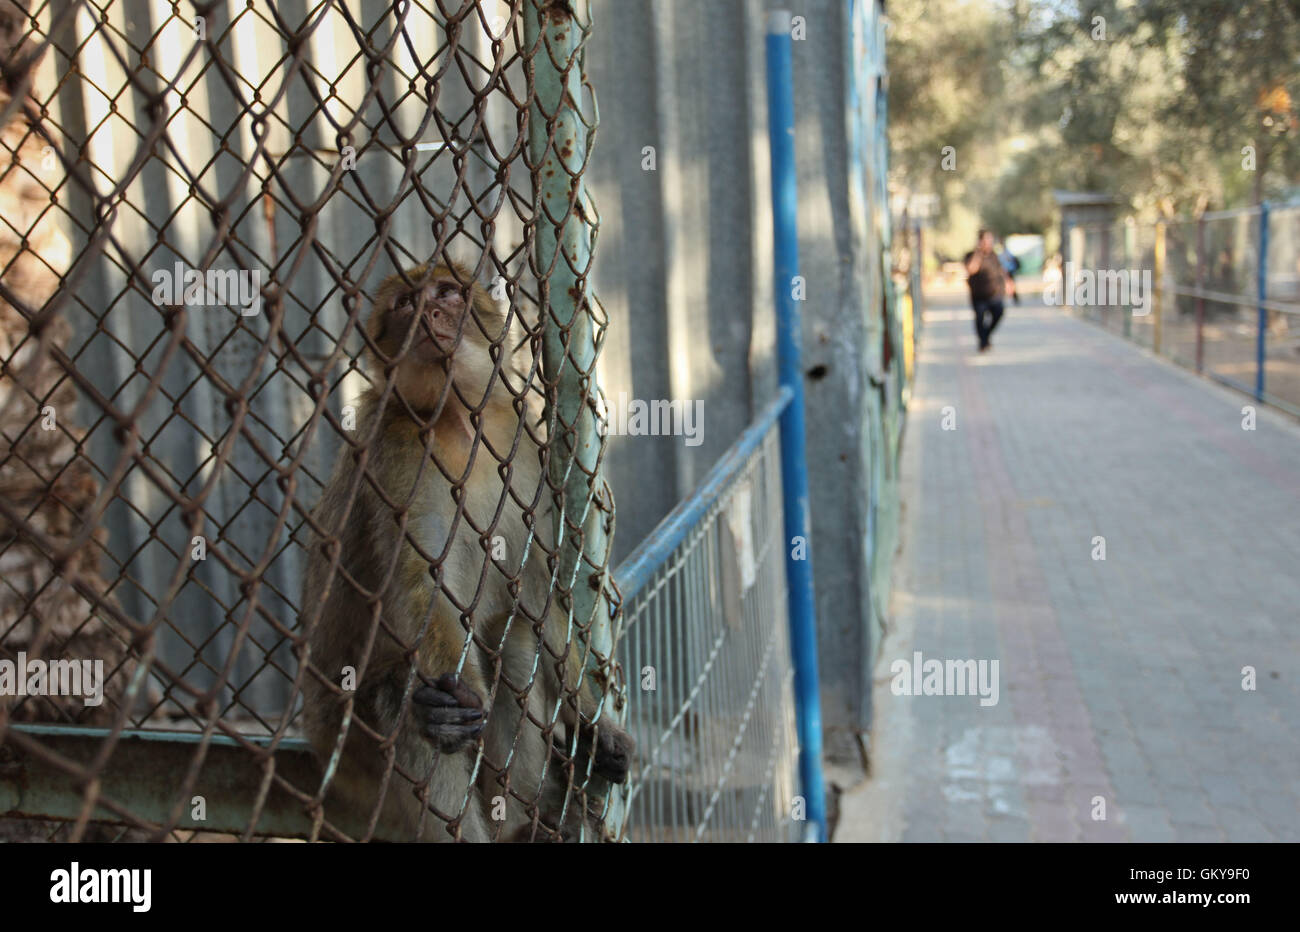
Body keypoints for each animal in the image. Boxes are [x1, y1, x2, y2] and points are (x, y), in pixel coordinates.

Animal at [300, 260, 631, 842]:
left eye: (447, 292)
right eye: (405, 304)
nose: (428, 314)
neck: (457, 418)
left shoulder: (520, 451)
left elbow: (537, 591)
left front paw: (590, 720)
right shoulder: (399, 452)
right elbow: (424, 580)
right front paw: (453, 705)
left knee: (513, 637)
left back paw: (522, 817)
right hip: (352, 764)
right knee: (406, 704)